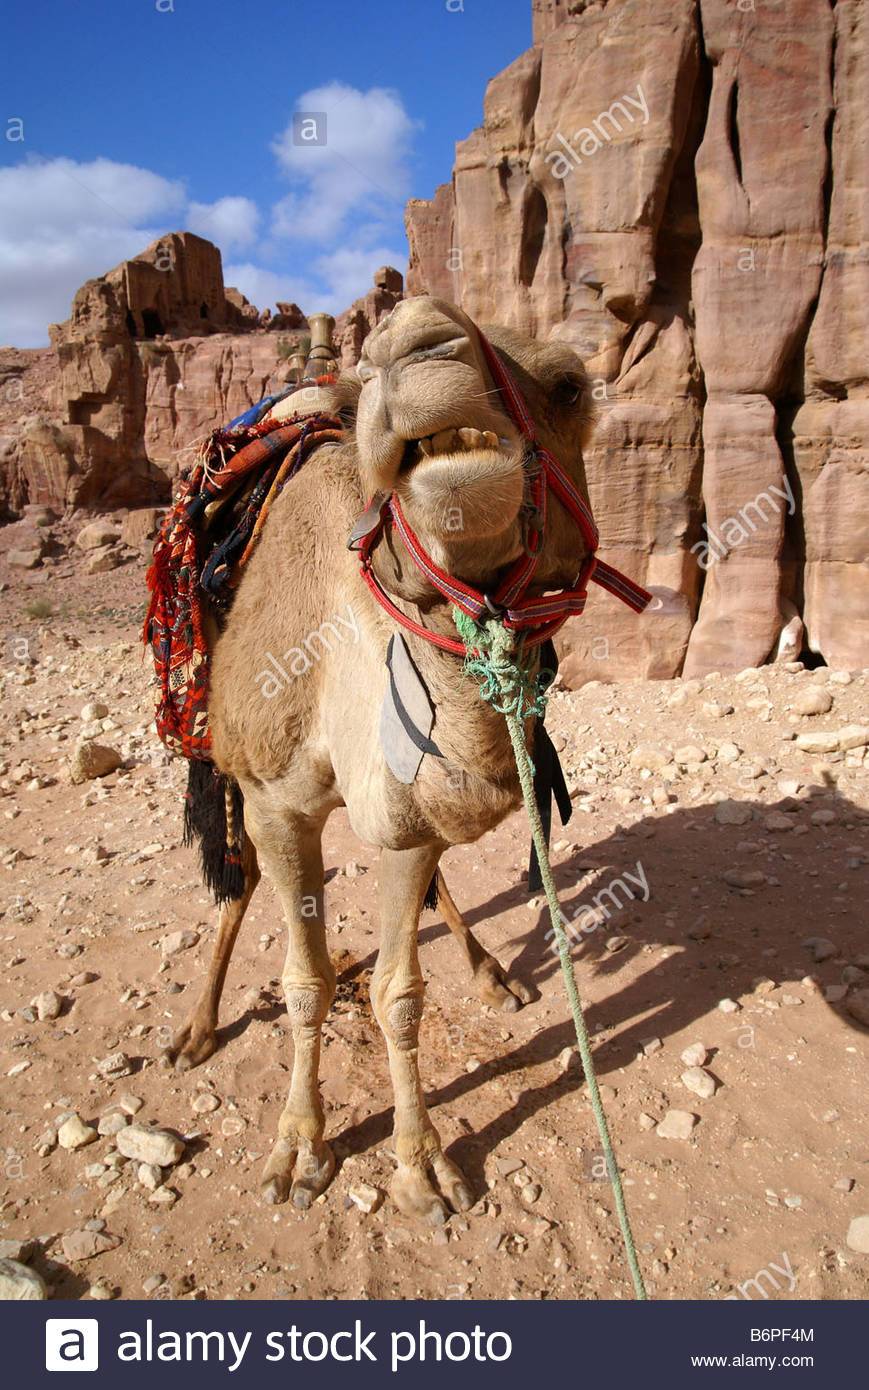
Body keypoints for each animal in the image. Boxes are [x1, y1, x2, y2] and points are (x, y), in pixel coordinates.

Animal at [169, 297, 603, 1223]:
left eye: (568, 385)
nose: (417, 337)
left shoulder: (411, 819)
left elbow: (397, 994)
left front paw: (422, 1165)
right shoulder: (275, 797)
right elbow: (306, 981)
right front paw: (300, 1149)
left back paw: (490, 973)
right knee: (238, 875)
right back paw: (196, 1027)